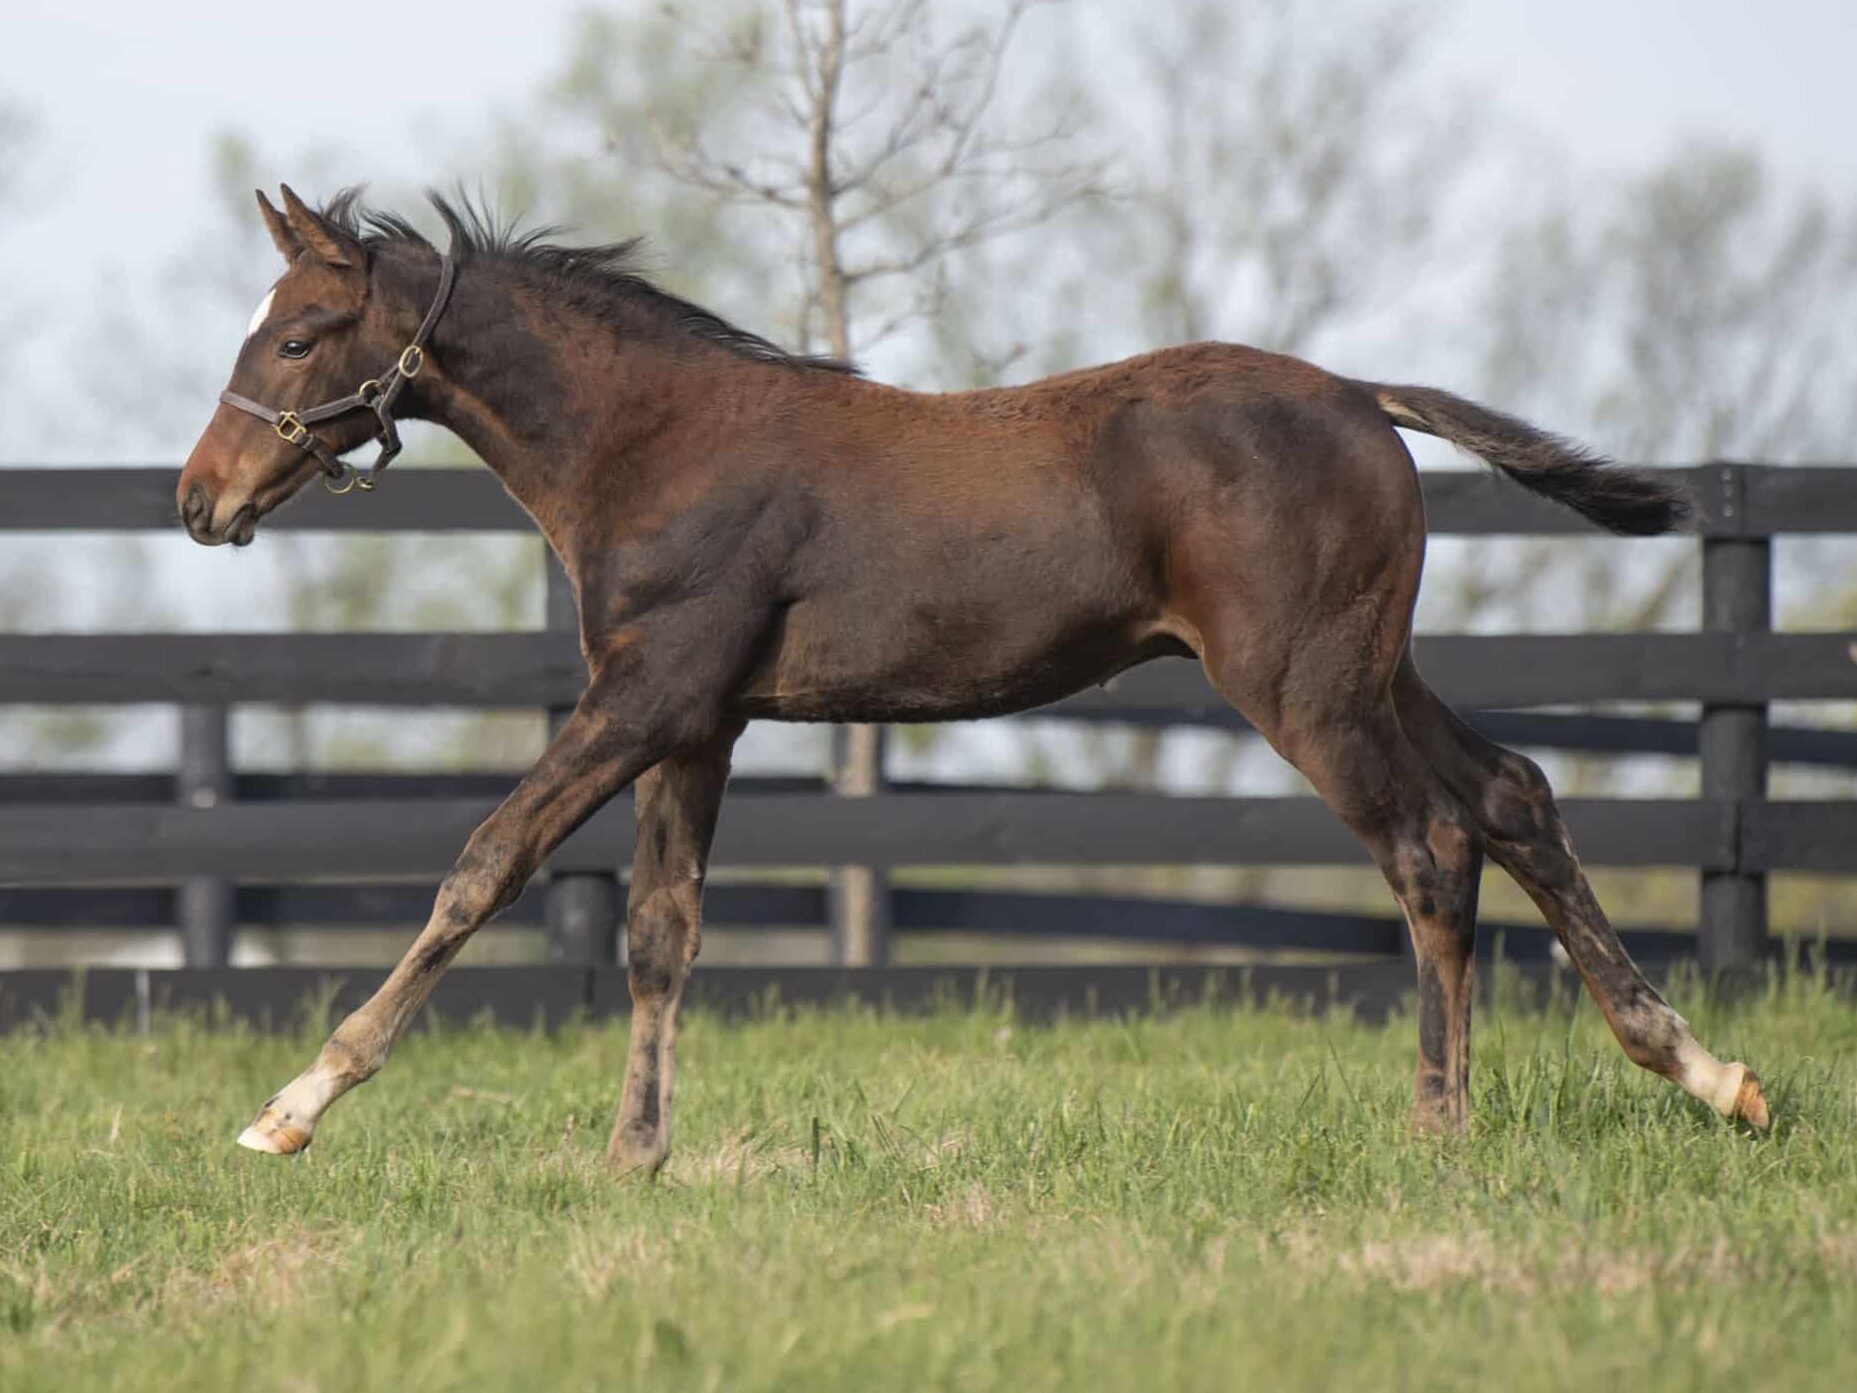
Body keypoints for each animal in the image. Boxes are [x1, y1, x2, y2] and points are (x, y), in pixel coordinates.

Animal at [177, 186, 1769, 1170]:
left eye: (301, 334)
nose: (200, 501)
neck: (655, 443)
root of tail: (1358, 399)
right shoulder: (700, 726)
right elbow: (659, 935)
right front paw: (635, 1156)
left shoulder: (641, 702)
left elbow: (485, 861)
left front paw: (293, 1106)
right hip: (1375, 667)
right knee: (1514, 793)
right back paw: (1709, 1073)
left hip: (1305, 688)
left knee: (1432, 847)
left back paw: (1441, 1127)